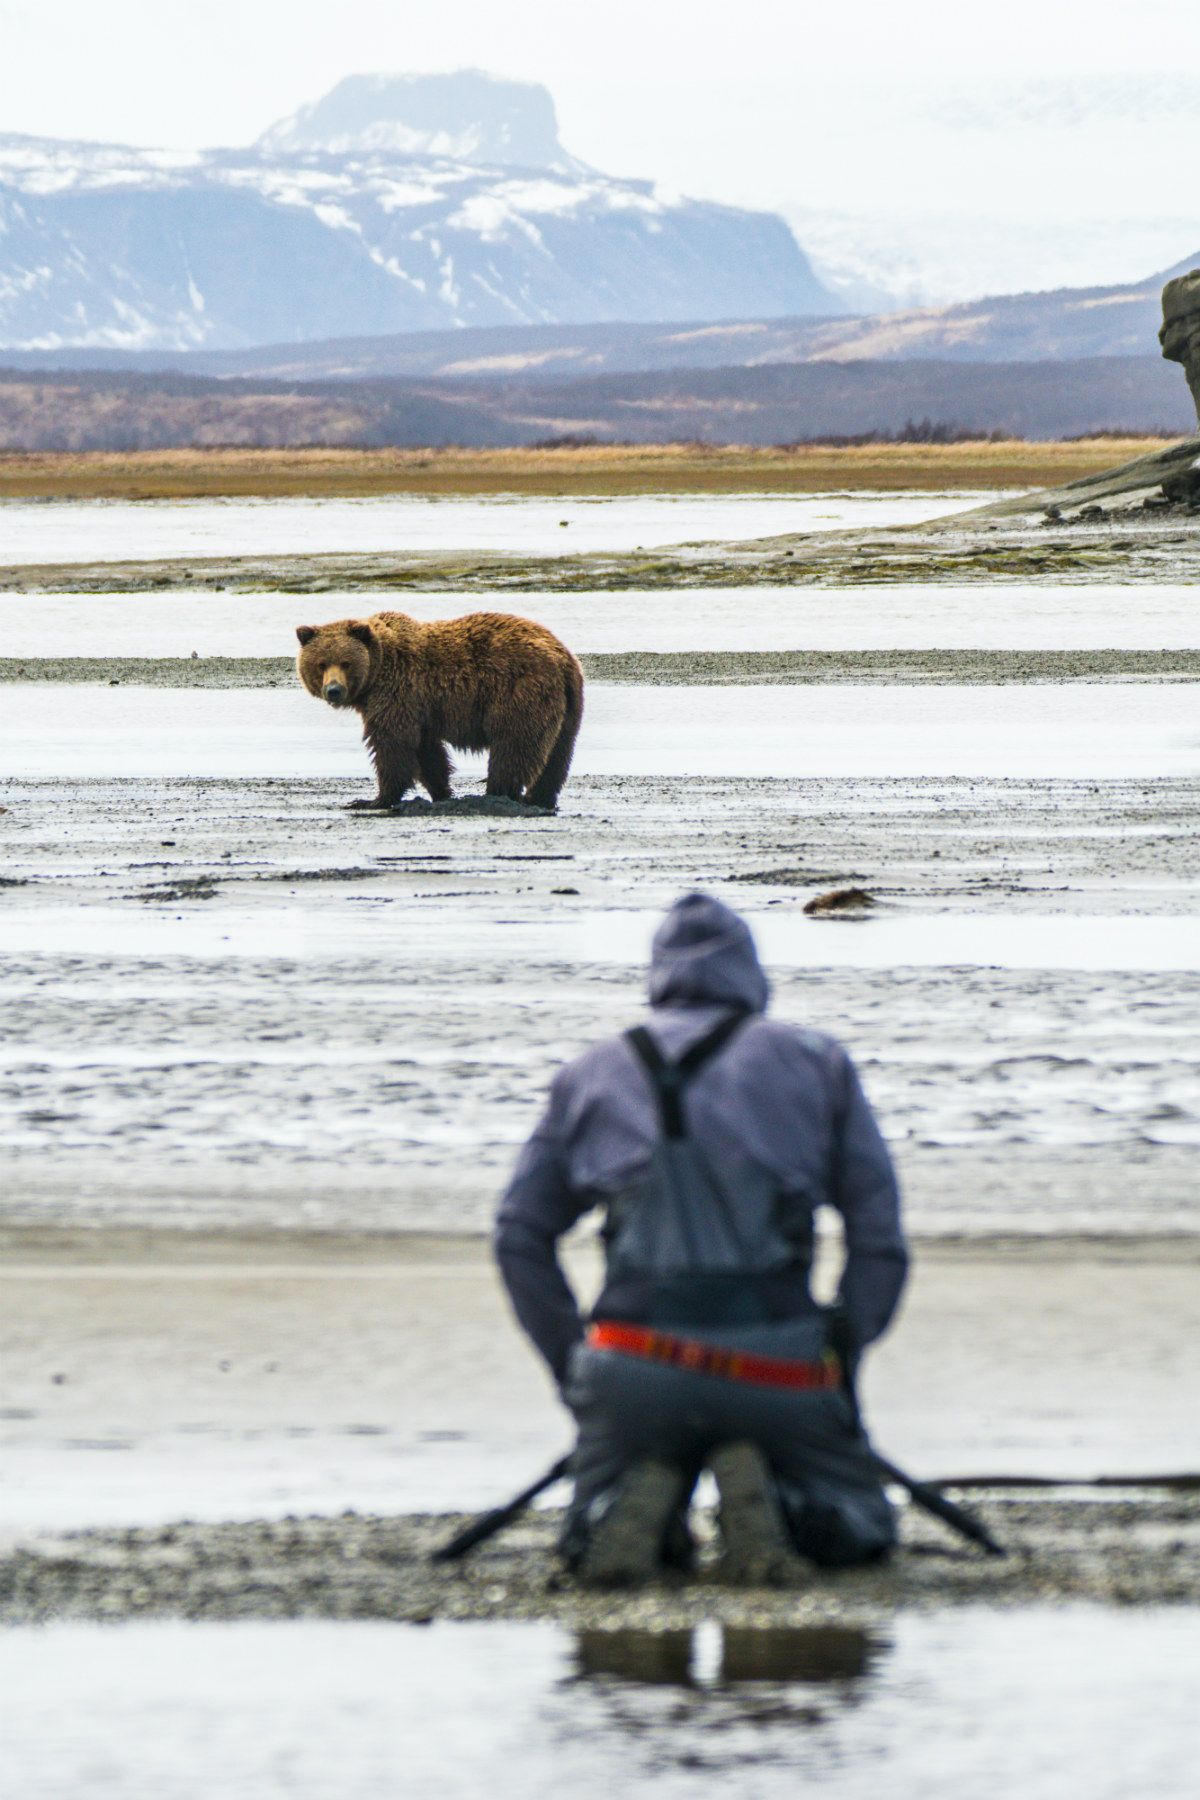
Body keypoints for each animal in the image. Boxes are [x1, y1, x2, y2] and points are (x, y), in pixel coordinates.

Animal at [295, 609, 585, 811]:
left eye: (345, 662)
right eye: (321, 663)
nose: (333, 690)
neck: (376, 674)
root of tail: (562, 657)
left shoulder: (398, 691)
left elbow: (392, 744)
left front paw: (374, 799)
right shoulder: (420, 710)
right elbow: (428, 753)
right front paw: (441, 792)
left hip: (519, 690)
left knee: (514, 745)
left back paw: (497, 792)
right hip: (569, 705)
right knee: (559, 753)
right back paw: (541, 797)